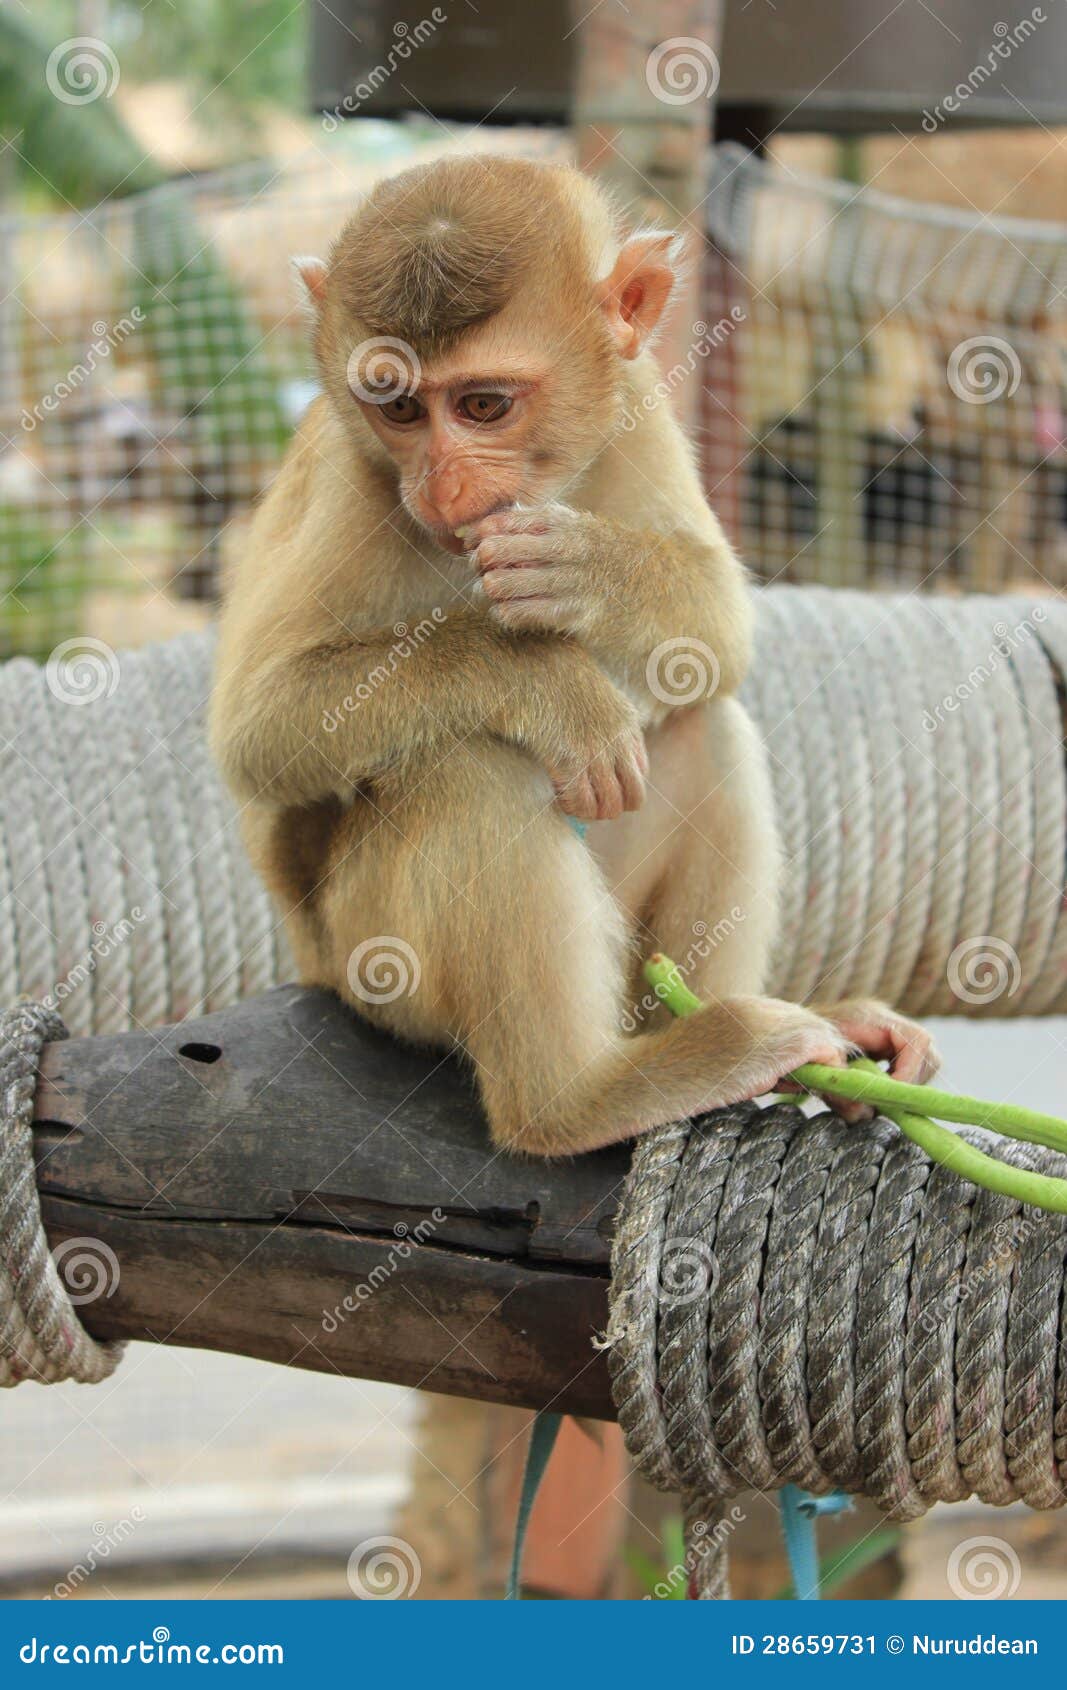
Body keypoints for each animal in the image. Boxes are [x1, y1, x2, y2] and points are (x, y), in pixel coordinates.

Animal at [209, 155, 939, 1158]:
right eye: (397, 406)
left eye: (482, 405)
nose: (445, 486)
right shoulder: (352, 481)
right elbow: (261, 730)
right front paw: (551, 684)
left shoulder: (633, 405)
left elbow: (720, 632)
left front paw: (585, 570)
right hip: (370, 963)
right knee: (466, 769)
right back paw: (579, 1098)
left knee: (702, 726)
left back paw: (724, 1035)